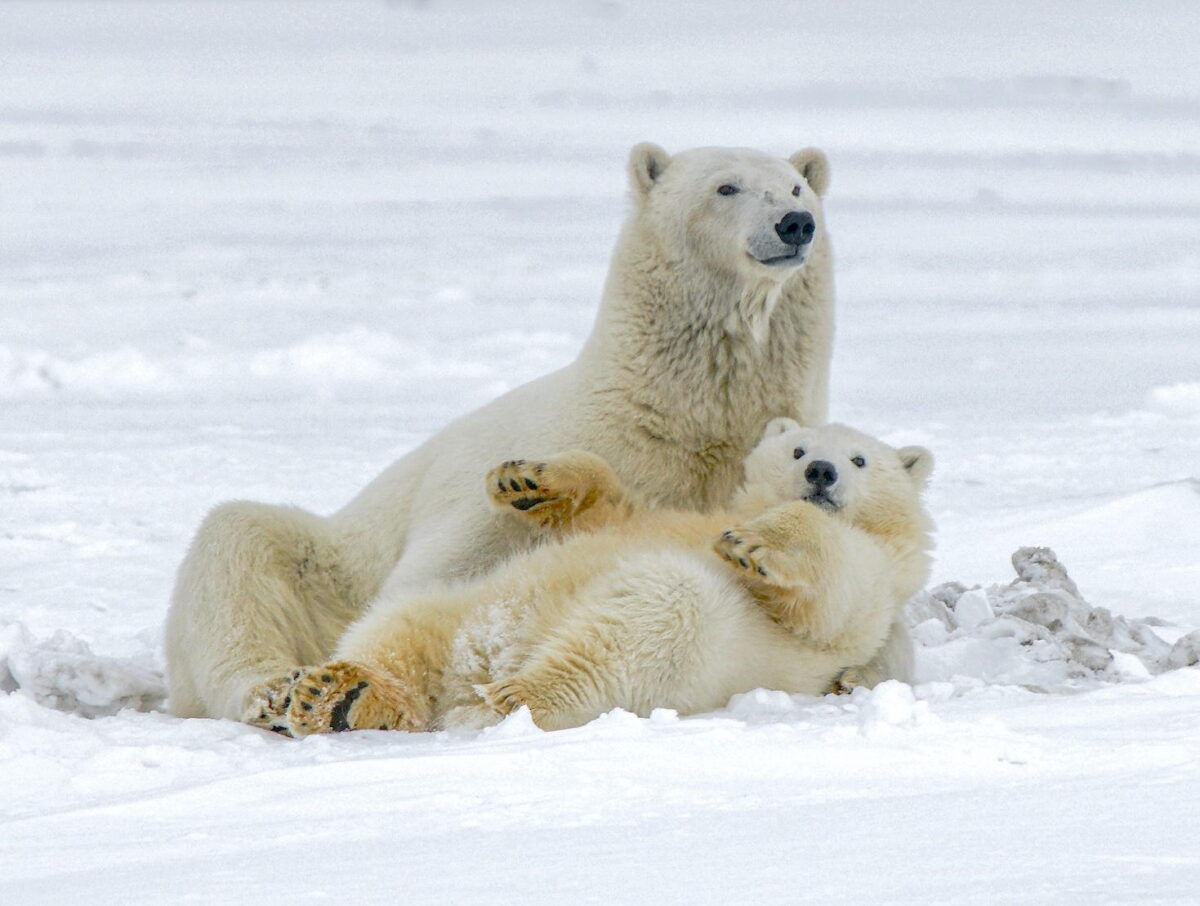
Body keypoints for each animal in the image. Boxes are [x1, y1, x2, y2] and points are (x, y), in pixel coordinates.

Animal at [164, 142, 886, 724]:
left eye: (796, 188)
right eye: (726, 186)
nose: (795, 224)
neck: (674, 419)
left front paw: (854, 674)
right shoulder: (506, 497)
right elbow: (436, 578)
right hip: (328, 567)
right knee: (238, 547)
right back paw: (272, 689)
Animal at [243, 421, 935, 735]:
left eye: (860, 459)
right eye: (797, 449)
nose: (820, 471)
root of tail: (480, 663)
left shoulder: (875, 584)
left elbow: (834, 589)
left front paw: (751, 542)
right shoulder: (665, 513)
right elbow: (608, 507)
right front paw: (523, 477)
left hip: (693, 638)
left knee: (644, 622)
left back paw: (518, 694)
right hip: (464, 604)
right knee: (399, 630)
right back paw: (325, 693)